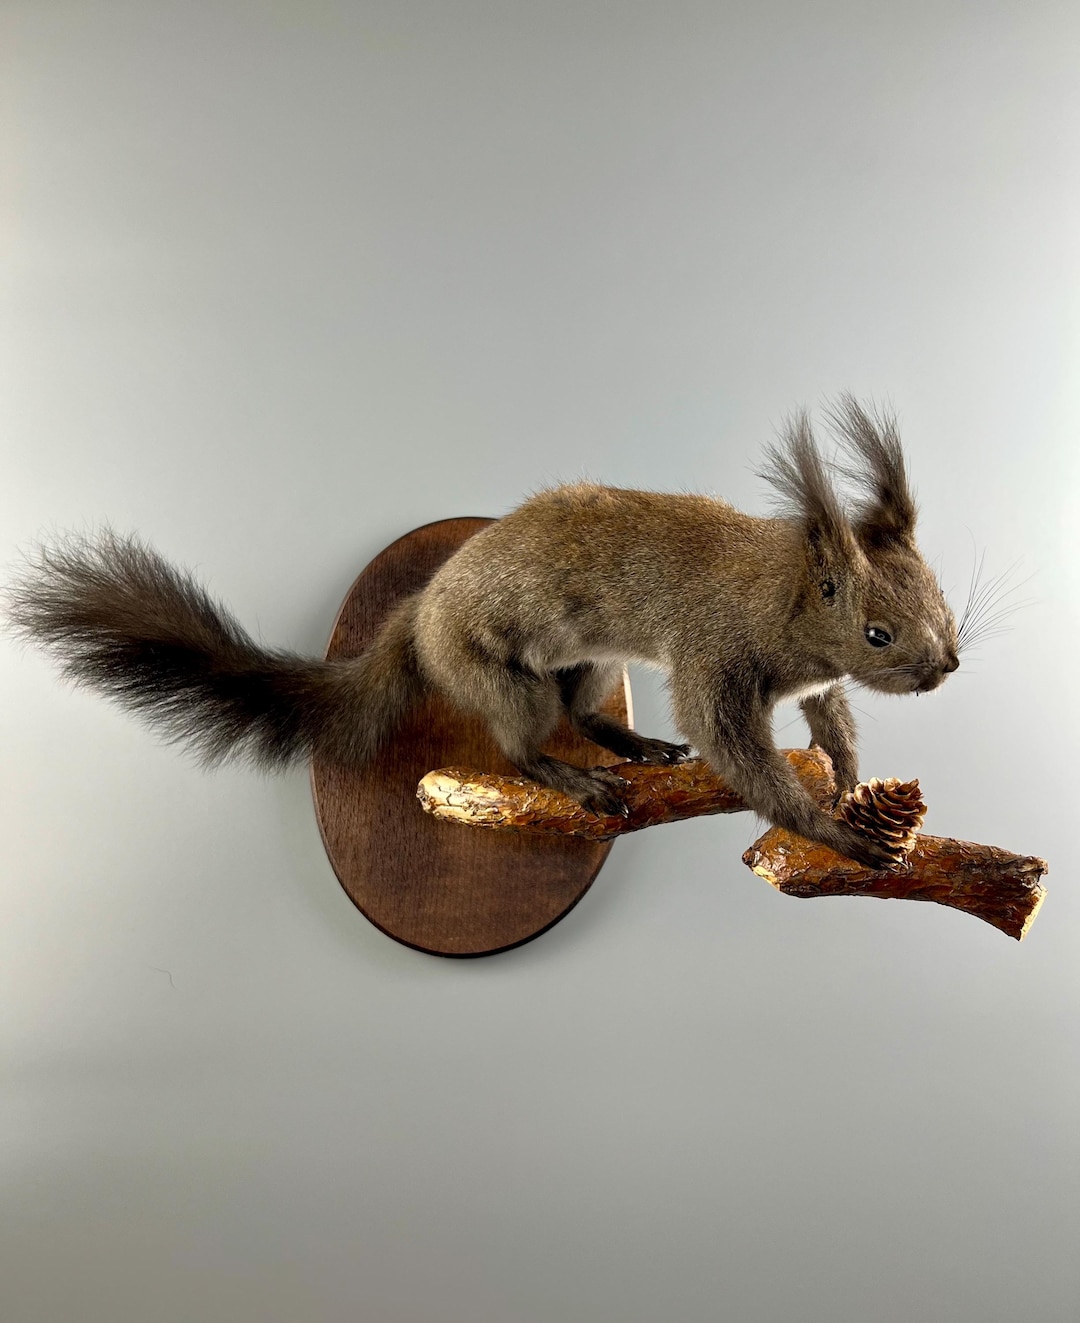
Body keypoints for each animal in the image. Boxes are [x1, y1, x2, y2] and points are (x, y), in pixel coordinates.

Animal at [6, 396, 959, 872]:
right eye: (878, 632)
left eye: (946, 602)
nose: (947, 664)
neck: (786, 593)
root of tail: (417, 619)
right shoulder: (715, 656)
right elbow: (738, 752)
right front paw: (835, 830)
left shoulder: (814, 682)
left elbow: (831, 723)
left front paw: (851, 777)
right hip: (497, 672)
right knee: (522, 740)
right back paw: (574, 779)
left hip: (589, 657)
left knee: (586, 709)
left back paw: (635, 745)